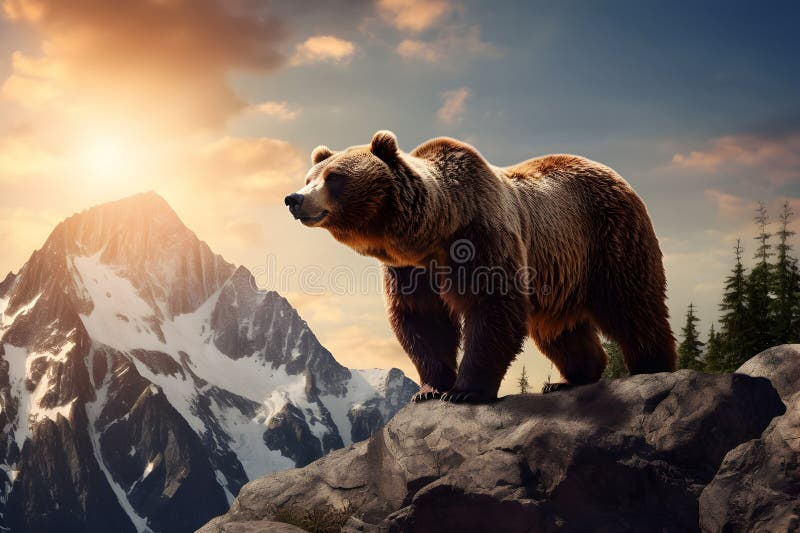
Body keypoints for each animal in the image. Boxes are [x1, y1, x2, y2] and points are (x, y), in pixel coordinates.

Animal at [284, 130, 676, 403]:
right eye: (310, 177)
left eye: (334, 177)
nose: (294, 199)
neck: (433, 232)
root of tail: (615, 174)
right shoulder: (410, 269)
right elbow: (421, 318)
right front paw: (430, 389)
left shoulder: (480, 237)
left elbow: (491, 304)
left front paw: (465, 391)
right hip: (560, 275)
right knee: (559, 330)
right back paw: (568, 379)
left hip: (608, 238)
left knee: (632, 304)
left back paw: (653, 367)